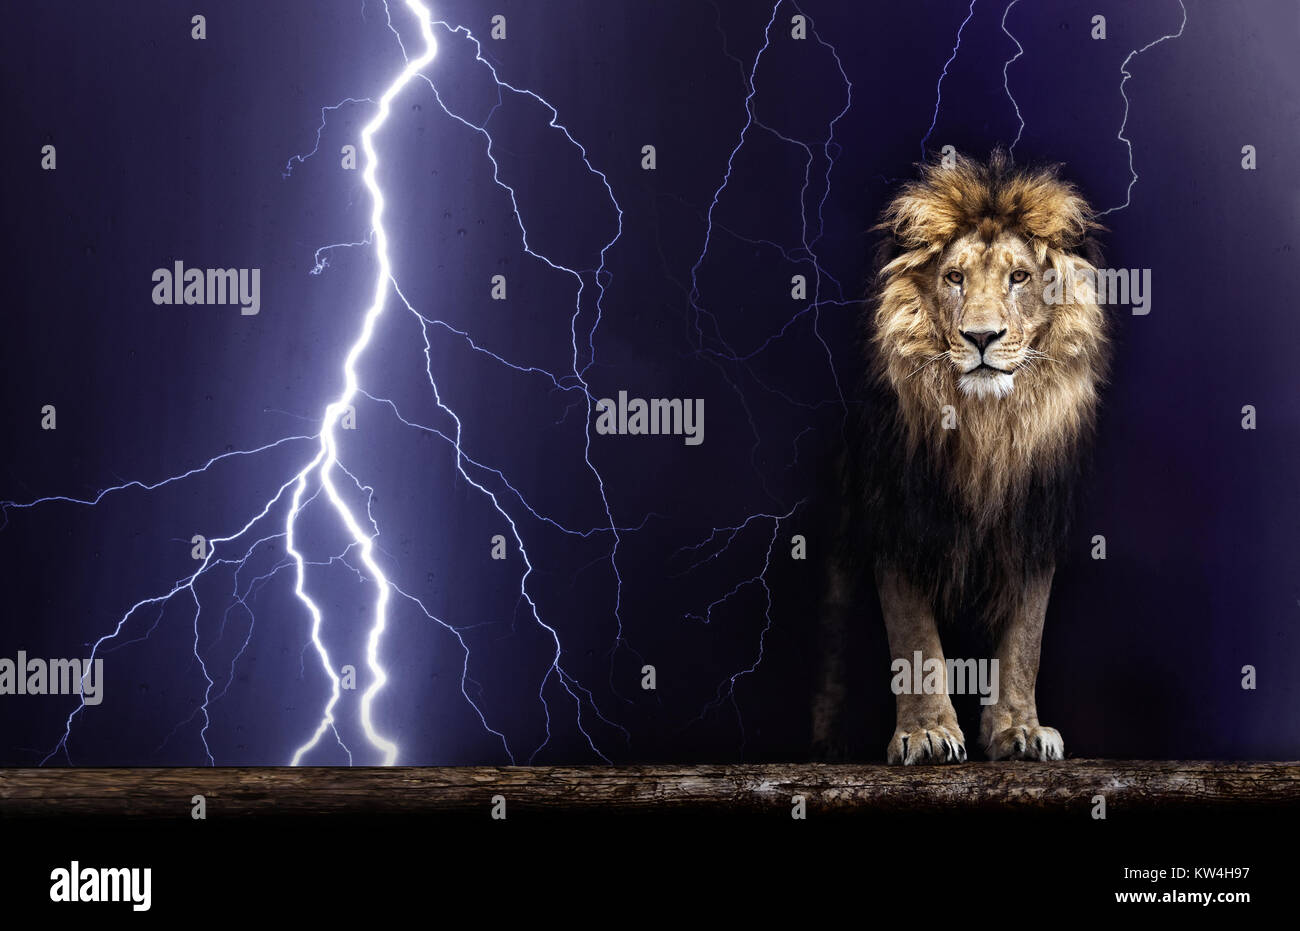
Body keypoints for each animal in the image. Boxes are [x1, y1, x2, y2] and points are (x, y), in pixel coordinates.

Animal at [814, 150, 1109, 764]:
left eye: (1019, 277)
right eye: (955, 278)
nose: (980, 336)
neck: (985, 427)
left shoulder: (1032, 524)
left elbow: (1025, 641)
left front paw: (1019, 731)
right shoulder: (897, 517)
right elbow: (915, 641)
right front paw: (927, 734)